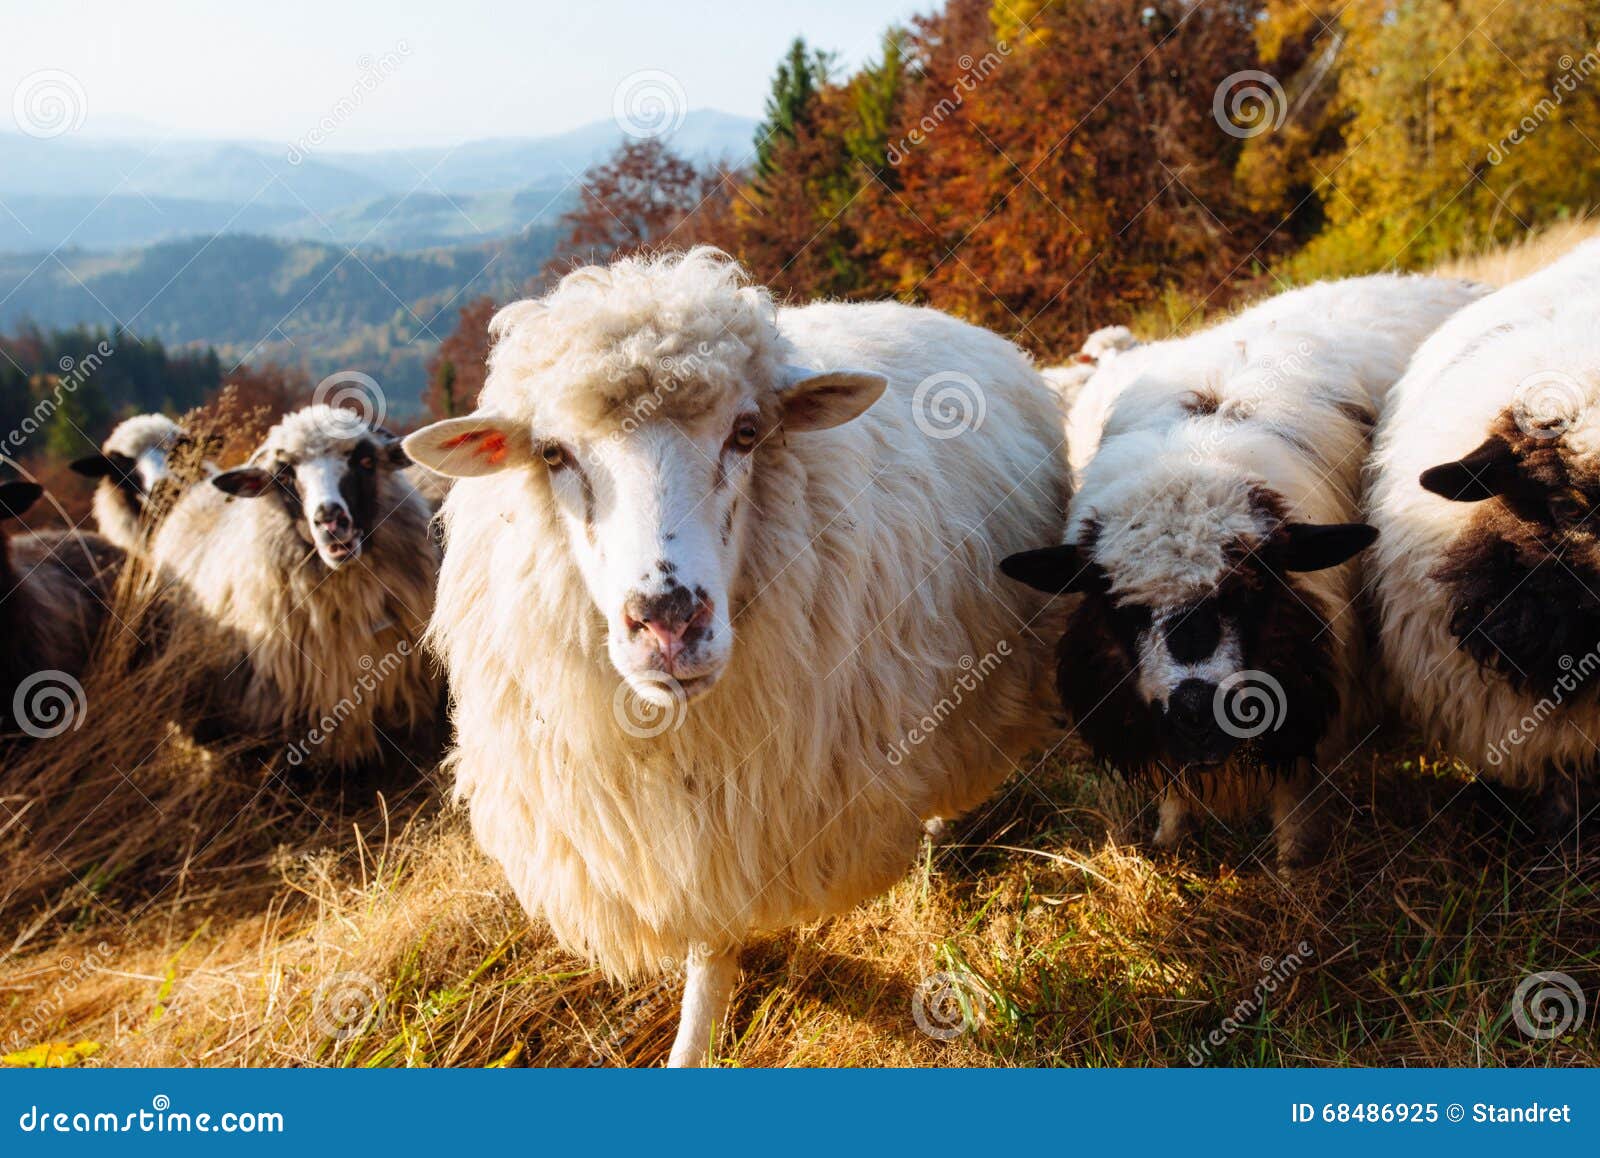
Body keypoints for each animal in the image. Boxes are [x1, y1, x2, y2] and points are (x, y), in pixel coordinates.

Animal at [1002, 274, 1486, 867]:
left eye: (1250, 592)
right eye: (1122, 611)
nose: (1199, 716)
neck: (1196, 443)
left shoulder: (1310, 674)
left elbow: (1293, 789)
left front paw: (1292, 862)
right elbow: (1172, 784)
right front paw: (1170, 836)